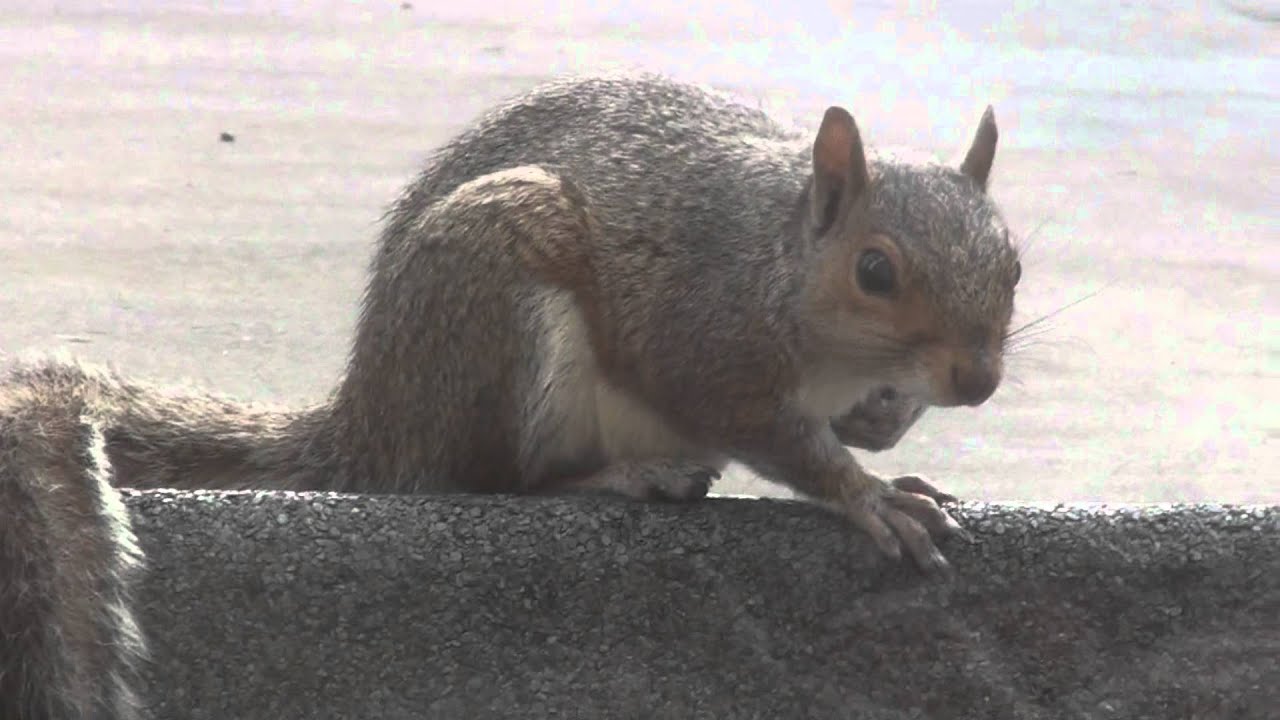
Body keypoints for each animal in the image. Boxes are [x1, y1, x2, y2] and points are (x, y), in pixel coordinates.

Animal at [0, 73, 1019, 719]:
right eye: (876, 271)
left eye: (1014, 262)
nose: (976, 380)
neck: (782, 262)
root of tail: (373, 420)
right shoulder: (706, 340)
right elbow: (772, 435)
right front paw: (869, 496)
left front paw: (886, 435)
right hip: (500, 289)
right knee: (489, 480)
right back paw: (625, 478)